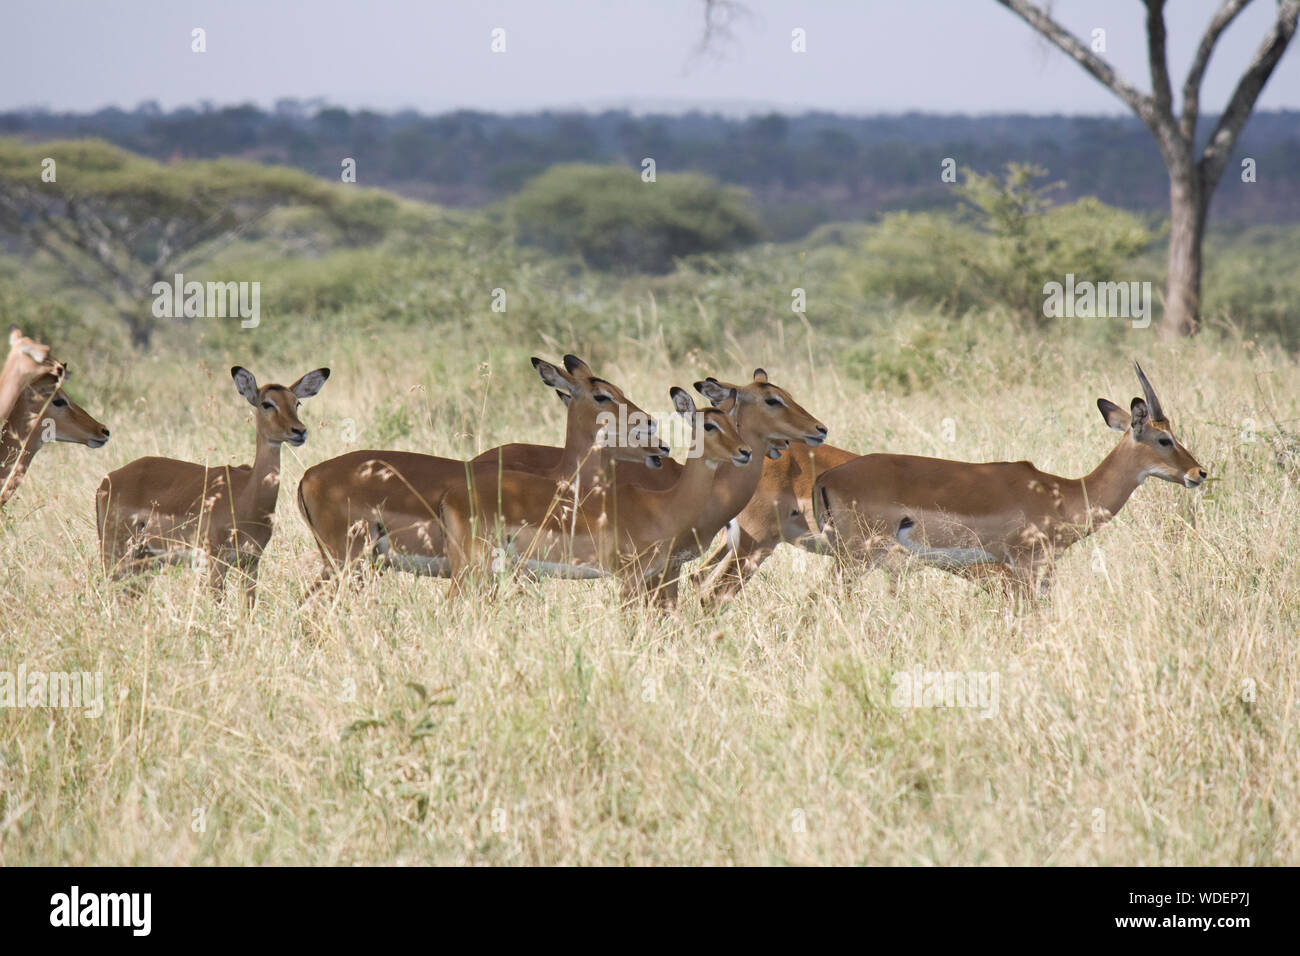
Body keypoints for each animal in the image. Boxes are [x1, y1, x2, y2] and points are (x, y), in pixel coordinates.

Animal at [96, 366, 329, 606]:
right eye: (267, 403)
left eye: (296, 403)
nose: (299, 431)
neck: (246, 495)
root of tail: (107, 480)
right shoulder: (216, 561)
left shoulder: (251, 563)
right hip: (116, 553)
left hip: (145, 560)